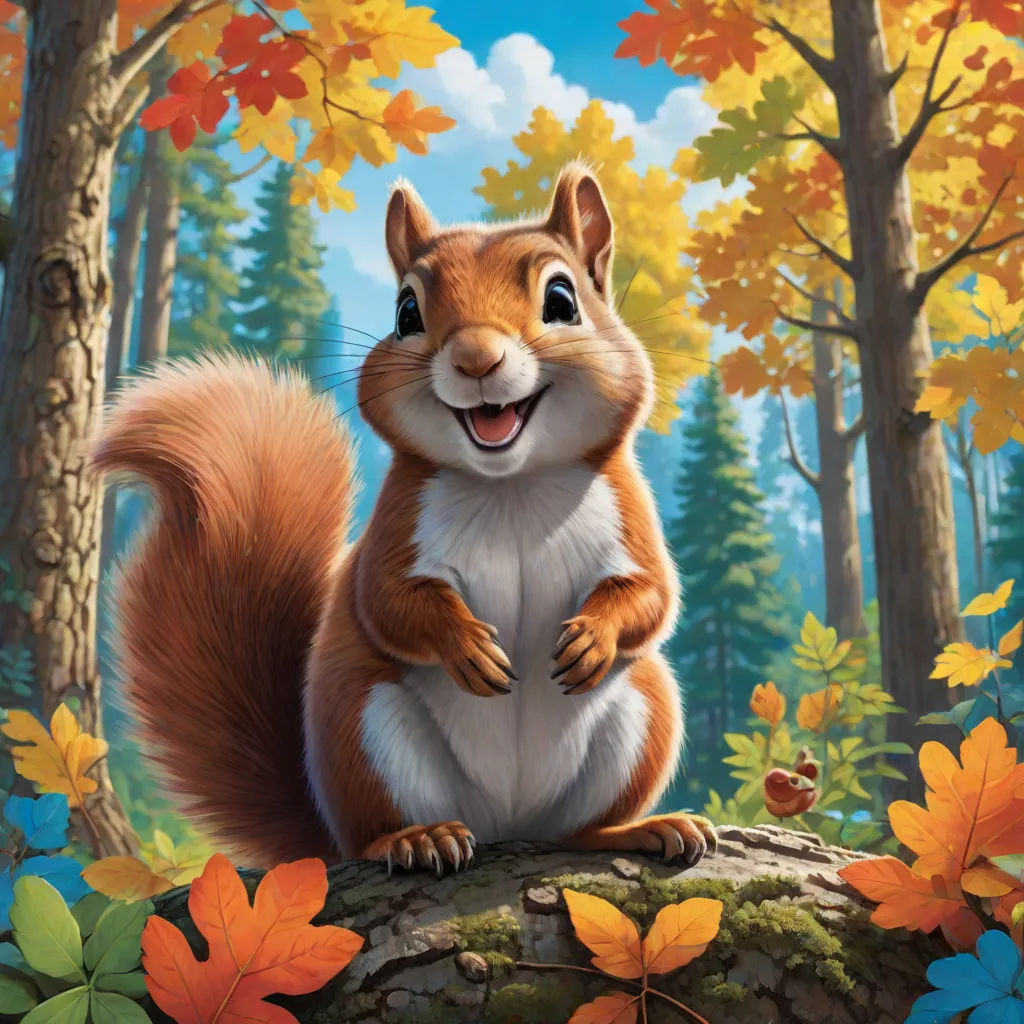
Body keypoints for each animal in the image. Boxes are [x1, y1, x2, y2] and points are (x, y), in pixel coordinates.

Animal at [93, 161, 717, 875]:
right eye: (406, 312)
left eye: (562, 300)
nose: (476, 360)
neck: (510, 487)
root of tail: (508, 822)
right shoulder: (395, 528)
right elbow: (389, 603)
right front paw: (466, 645)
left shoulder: (628, 515)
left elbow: (652, 595)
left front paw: (594, 635)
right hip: (366, 731)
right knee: (375, 830)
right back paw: (416, 840)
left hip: (645, 710)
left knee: (577, 831)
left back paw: (638, 828)